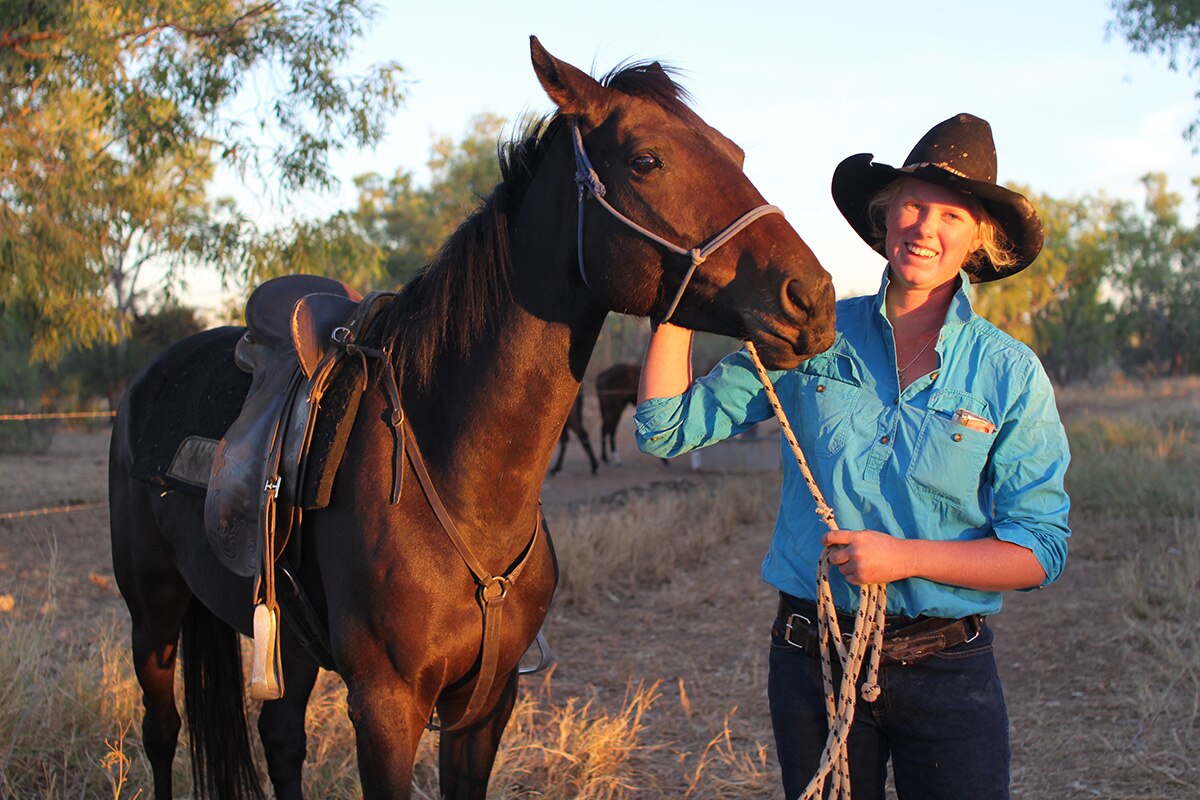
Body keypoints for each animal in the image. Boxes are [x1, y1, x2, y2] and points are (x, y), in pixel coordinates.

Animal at [108, 36, 835, 800]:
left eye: (735, 152)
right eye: (646, 160)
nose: (813, 298)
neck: (464, 487)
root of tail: (148, 381)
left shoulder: (486, 705)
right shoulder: (386, 708)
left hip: (286, 642)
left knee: (280, 739)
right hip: (152, 614)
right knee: (162, 733)